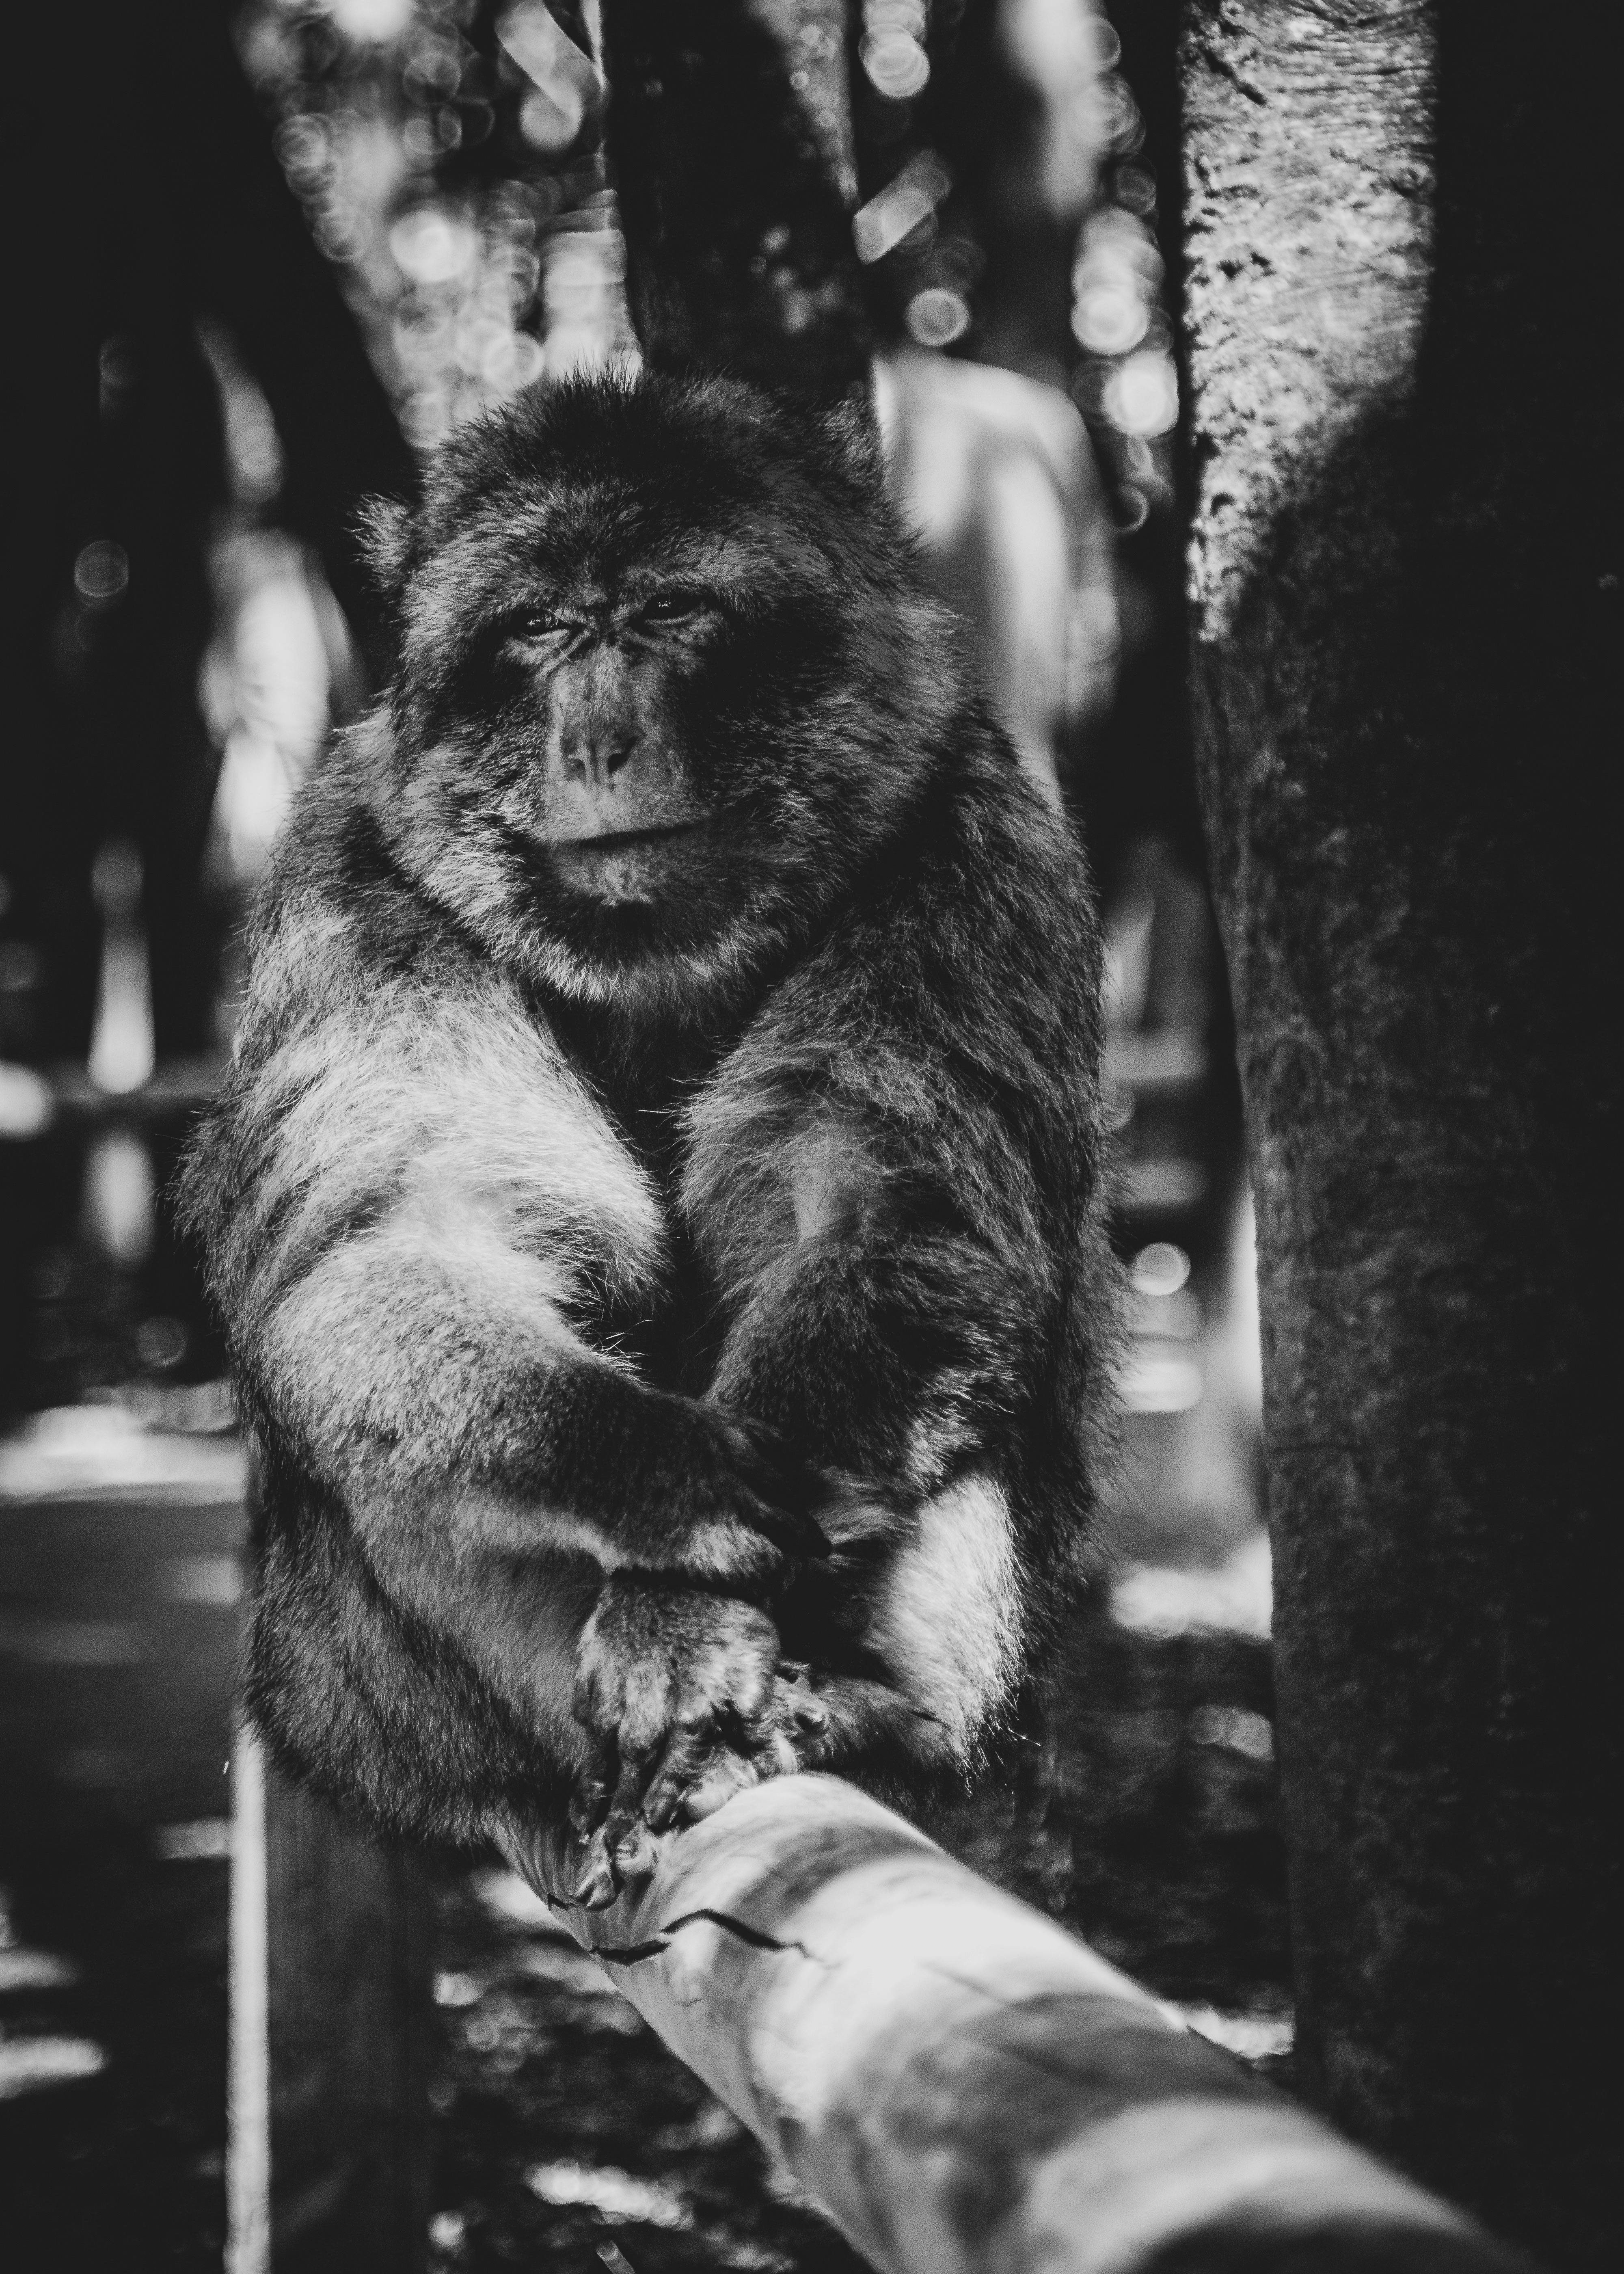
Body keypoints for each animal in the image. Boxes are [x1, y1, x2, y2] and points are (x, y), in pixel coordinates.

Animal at [178, 368, 1118, 1907]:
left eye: (672, 613)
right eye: (540, 630)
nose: (596, 739)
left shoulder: (965, 841)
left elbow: (890, 1216)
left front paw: (683, 1618)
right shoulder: (350, 890)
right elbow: (396, 1236)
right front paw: (661, 1490)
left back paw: (861, 1717)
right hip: (362, 1710)